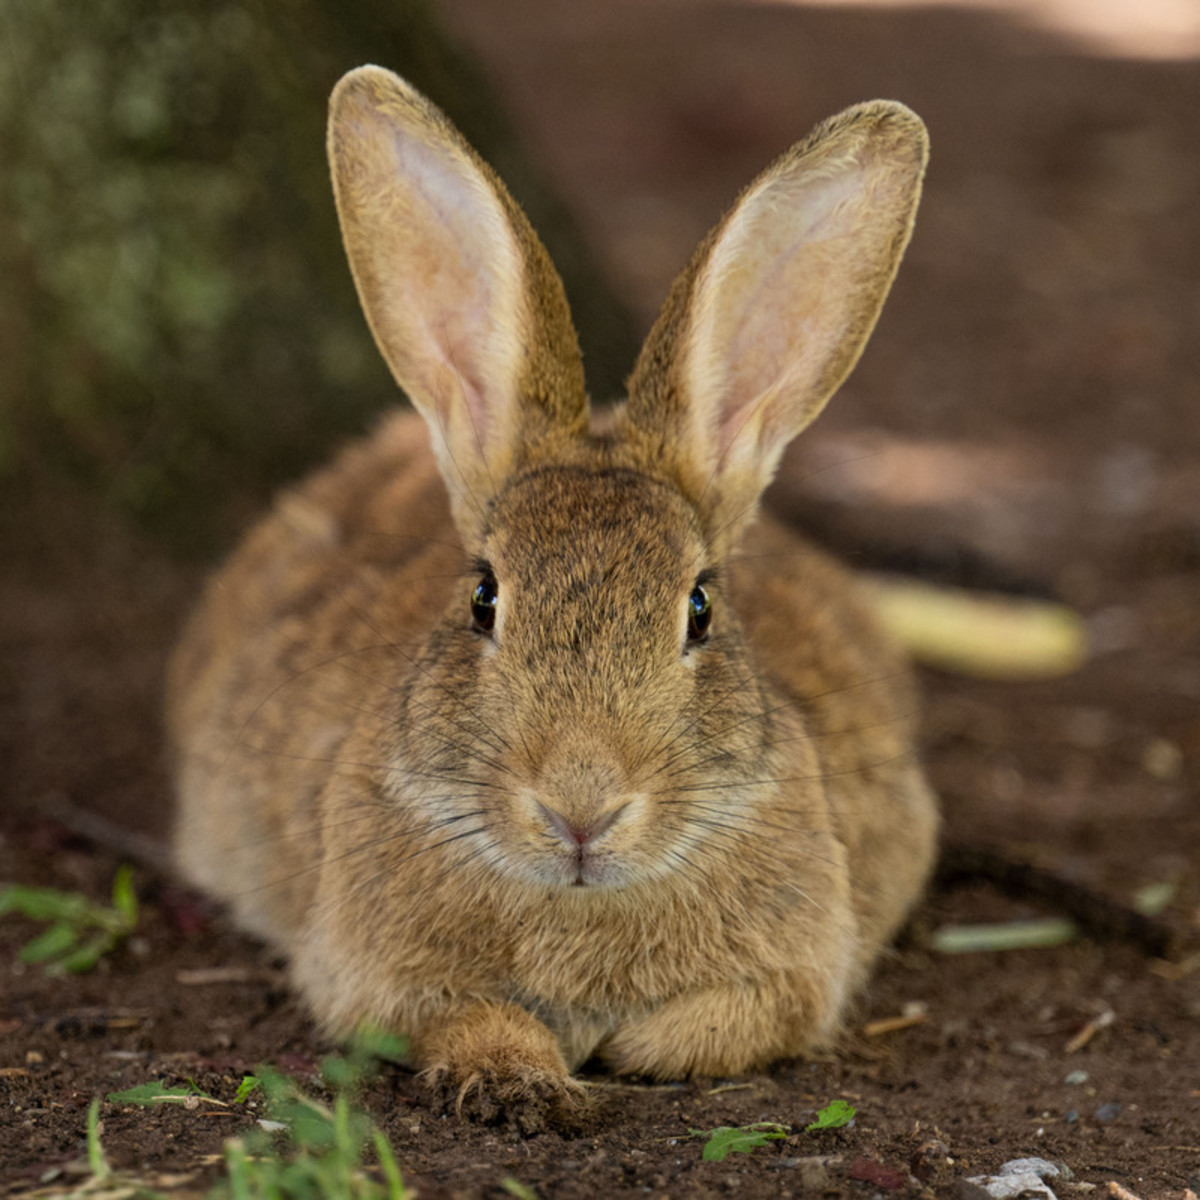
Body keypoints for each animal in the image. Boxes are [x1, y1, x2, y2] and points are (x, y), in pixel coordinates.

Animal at [167, 63, 939, 1123]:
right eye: (483, 599)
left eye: (699, 609)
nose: (581, 811)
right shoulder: (374, 977)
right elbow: (464, 1019)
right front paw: (522, 1075)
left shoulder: (799, 972)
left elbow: (722, 1024)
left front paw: (618, 1049)